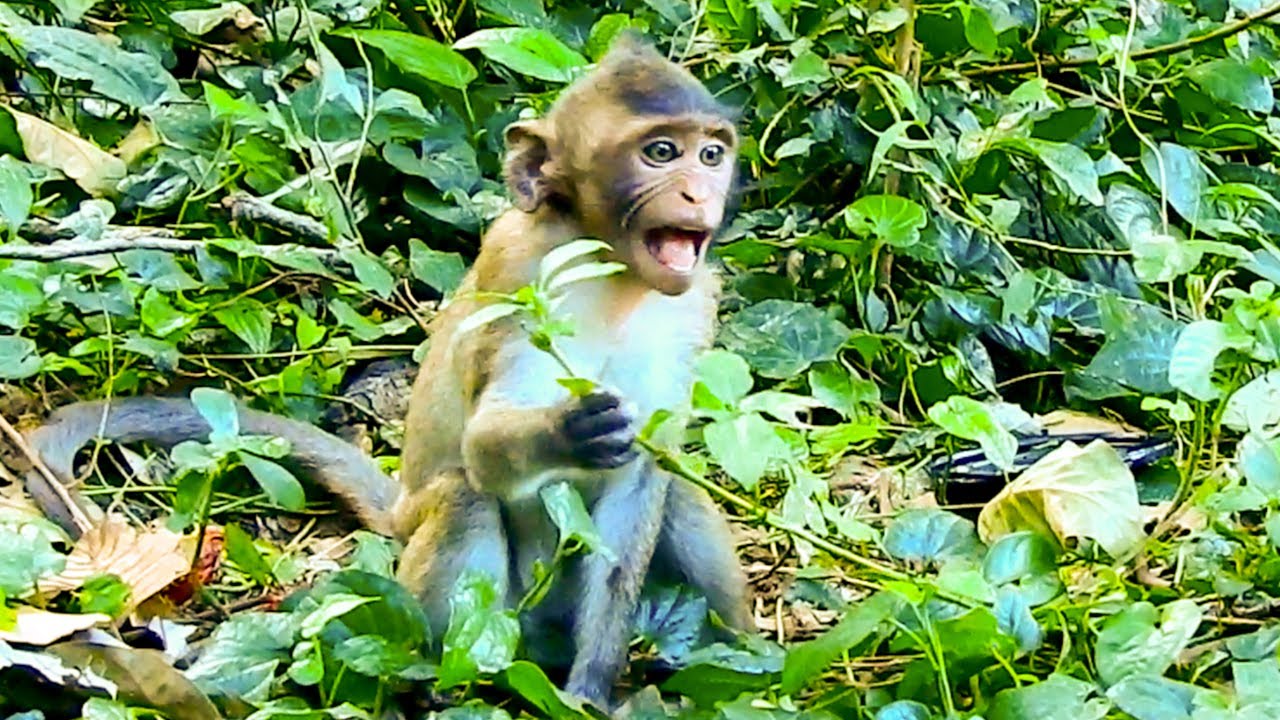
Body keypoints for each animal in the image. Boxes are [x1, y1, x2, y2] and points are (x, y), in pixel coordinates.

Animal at [20, 32, 750, 709]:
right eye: (661, 152)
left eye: (711, 154)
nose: (698, 191)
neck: (613, 273)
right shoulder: (520, 277)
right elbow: (484, 453)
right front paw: (568, 431)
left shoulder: (694, 307)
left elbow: (641, 483)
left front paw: (590, 692)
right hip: (481, 611)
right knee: (461, 503)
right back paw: (433, 685)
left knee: (679, 497)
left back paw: (741, 655)